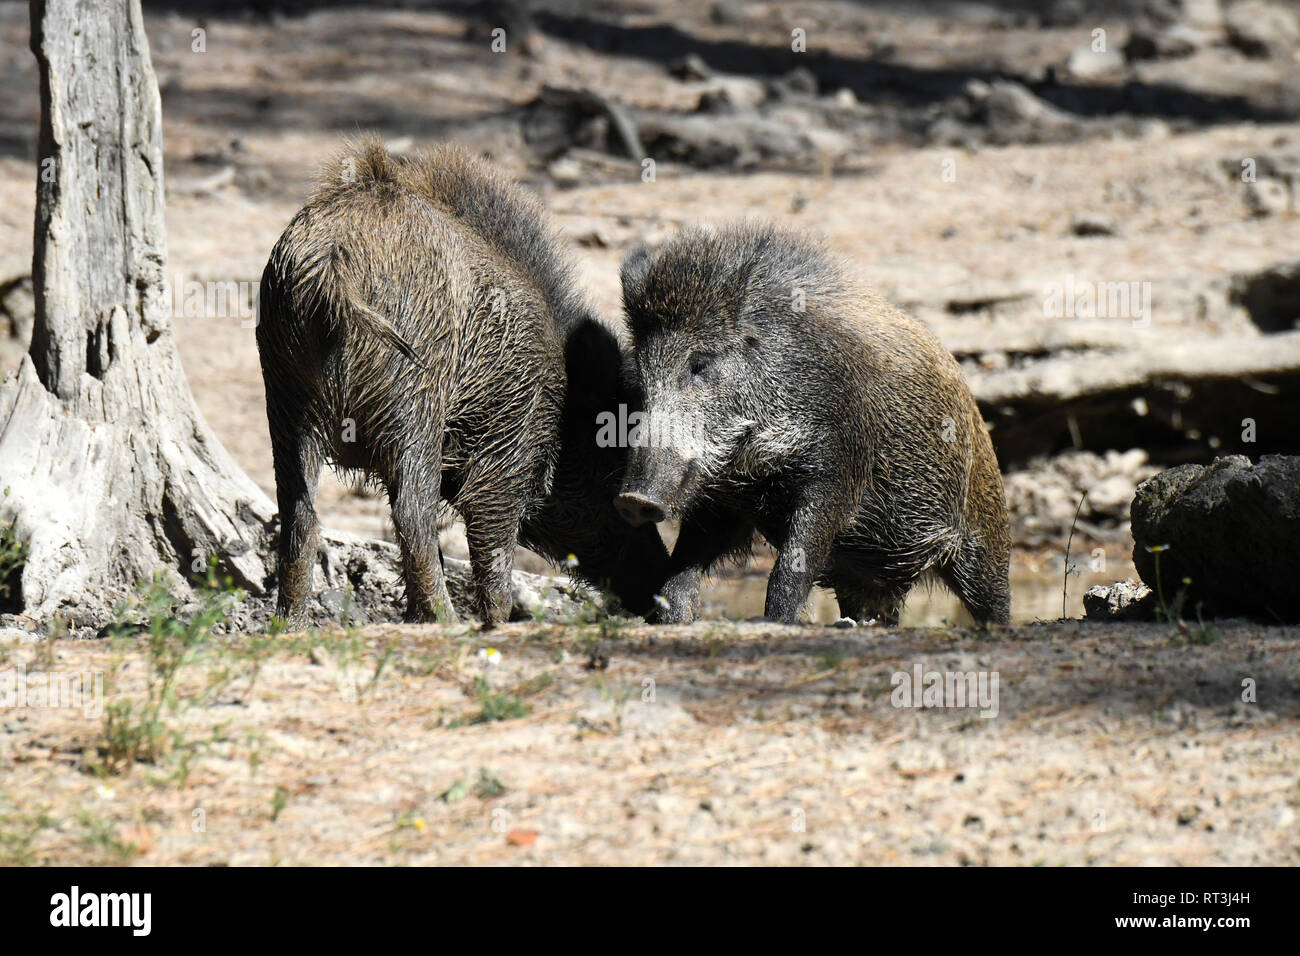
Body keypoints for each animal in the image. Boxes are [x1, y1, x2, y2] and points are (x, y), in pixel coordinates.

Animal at [256, 138, 668, 626]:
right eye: (612, 467)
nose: (669, 597)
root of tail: (332, 261)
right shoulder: (508, 448)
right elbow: (491, 547)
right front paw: (496, 625)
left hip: (284, 394)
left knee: (298, 513)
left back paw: (291, 626)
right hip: (415, 400)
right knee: (412, 512)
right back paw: (446, 621)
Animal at [615, 222, 1011, 625]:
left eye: (700, 364)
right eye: (641, 376)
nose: (634, 499)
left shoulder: (835, 473)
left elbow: (791, 567)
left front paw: (778, 621)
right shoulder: (721, 501)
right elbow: (681, 570)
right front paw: (671, 620)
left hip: (986, 534)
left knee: (993, 599)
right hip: (870, 582)